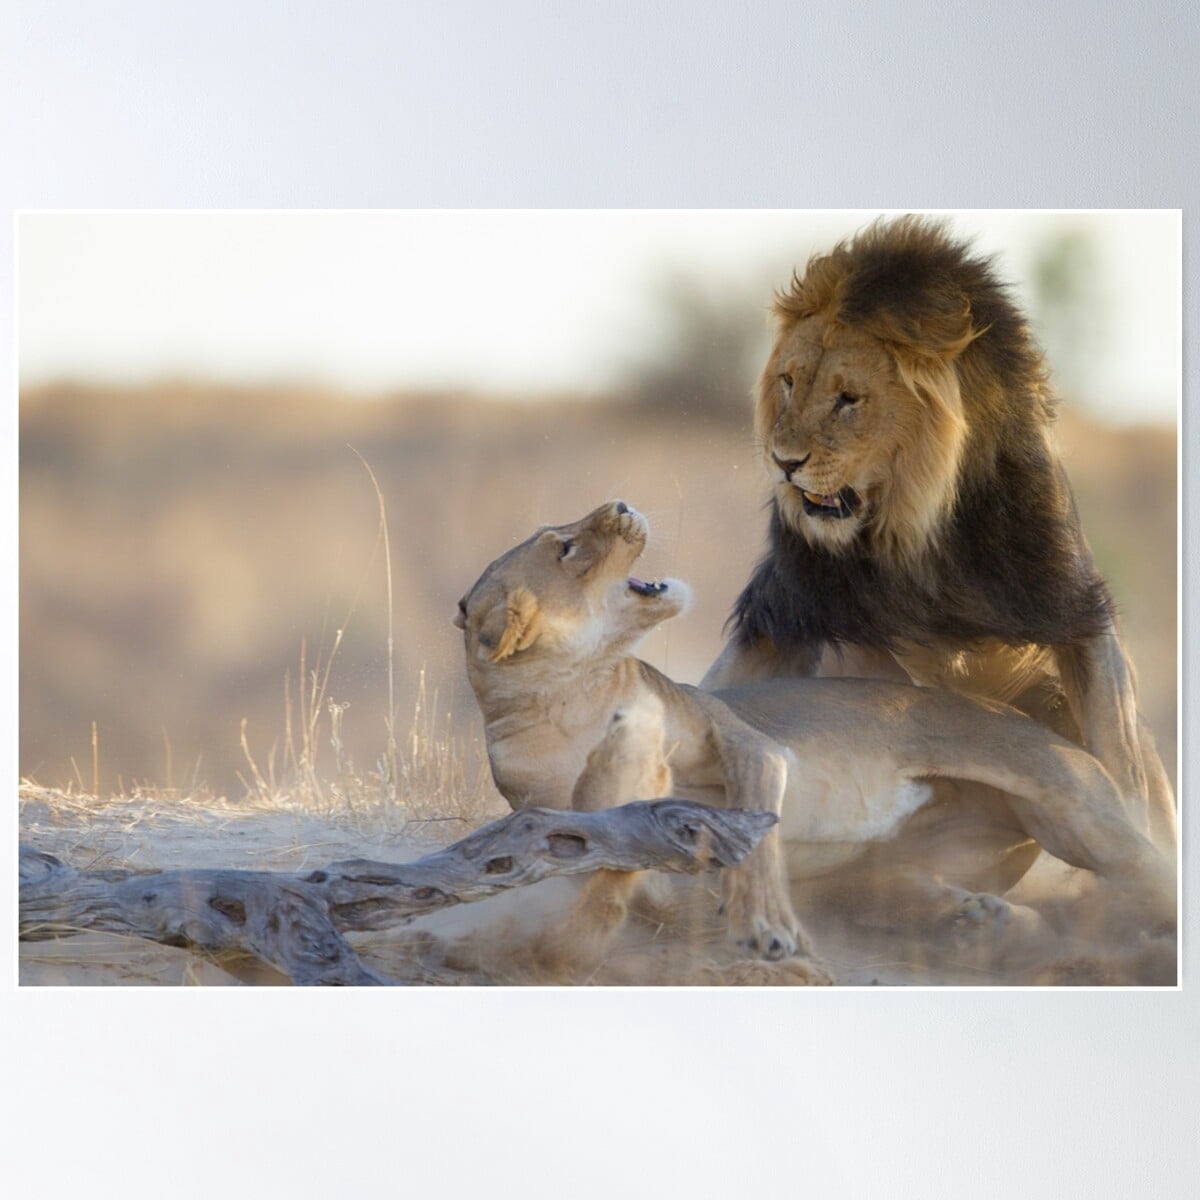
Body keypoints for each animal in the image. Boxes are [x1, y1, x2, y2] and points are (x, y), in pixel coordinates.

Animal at [454, 501, 1174, 981]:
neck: (567, 700)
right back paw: (977, 923)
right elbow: (619, 886)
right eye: (565, 548)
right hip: (899, 869)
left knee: (1151, 878)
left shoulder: (746, 743)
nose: (624, 504)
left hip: (1078, 816)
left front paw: (769, 930)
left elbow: (752, 833)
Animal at [702, 215, 1176, 860]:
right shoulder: (814, 615)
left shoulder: (1070, 605)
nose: (784, 463)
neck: (915, 531)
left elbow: (1118, 749)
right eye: (789, 382)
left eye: (849, 399)